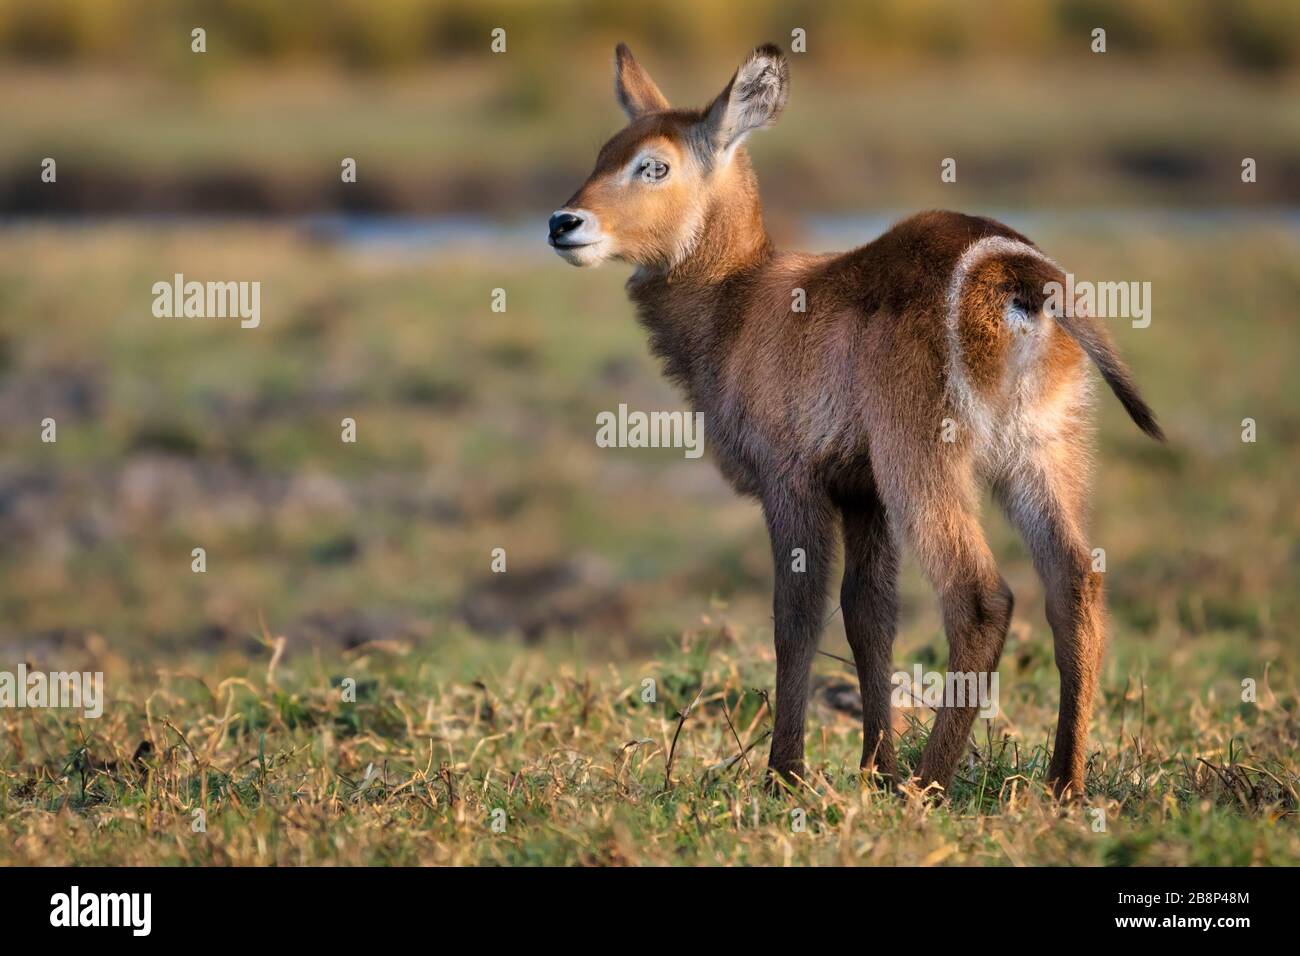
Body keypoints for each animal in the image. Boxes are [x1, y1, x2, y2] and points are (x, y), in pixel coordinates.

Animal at [548, 43, 1163, 798]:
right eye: (604, 152)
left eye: (654, 164)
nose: (563, 223)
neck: (736, 301)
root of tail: (1012, 265)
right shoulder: (861, 492)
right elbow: (870, 617)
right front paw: (876, 766)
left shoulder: (792, 482)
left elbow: (797, 617)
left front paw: (786, 775)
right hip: (1044, 454)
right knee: (1075, 581)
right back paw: (1061, 783)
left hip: (922, 461)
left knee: (981, 597)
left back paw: (929, 785)